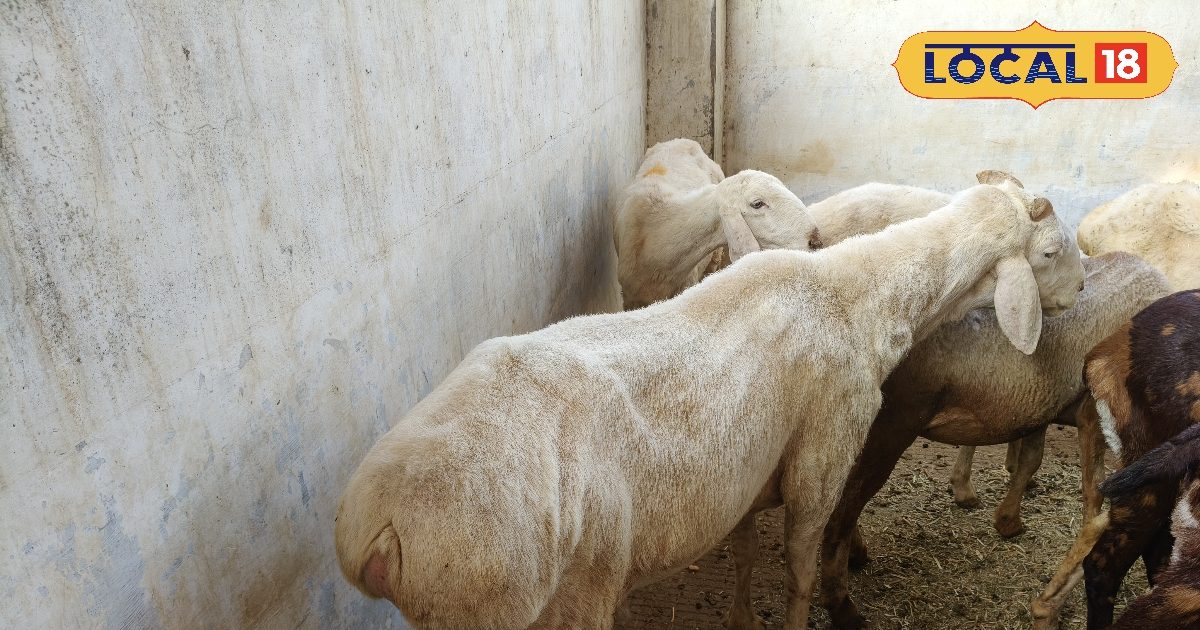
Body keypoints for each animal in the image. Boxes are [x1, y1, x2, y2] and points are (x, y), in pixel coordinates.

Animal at [334, 175, 1083, 630]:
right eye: (1050, 250)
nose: (1080, 293)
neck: (853, 295)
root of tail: (376, 524)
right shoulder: (820, 460)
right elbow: (801, 568)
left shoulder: (748, 473)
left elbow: (747, 552)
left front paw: (742, 617)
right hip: (529, 600)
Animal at [806, 252, 1167, 630]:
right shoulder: (1092, 414)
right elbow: (1093, 497)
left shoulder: (1041, 405)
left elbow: (1031, 459)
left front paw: (1007, 520)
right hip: (890, 425)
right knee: (840, 513)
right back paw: (844, 606)